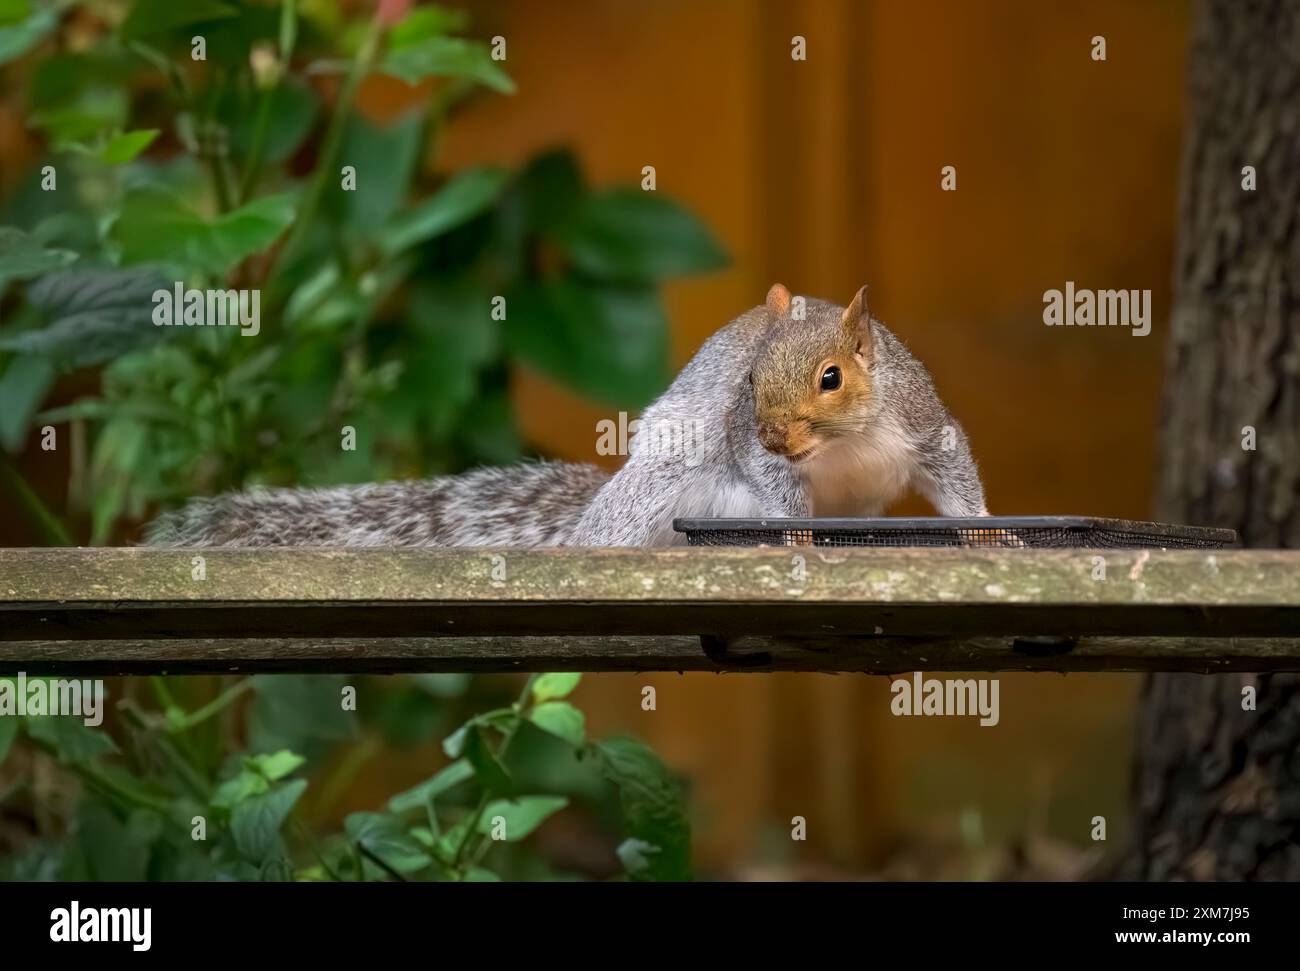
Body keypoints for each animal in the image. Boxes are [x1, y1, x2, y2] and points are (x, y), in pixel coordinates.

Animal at [147, 283, 987, 548]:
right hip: (656, 487)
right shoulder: (756, 456)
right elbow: (775, 488)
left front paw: (988, 530)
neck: (838, 446)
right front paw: (799, 536)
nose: (777, 432)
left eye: (831, 377)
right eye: (749, 381)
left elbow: (956, 472)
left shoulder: (918, 420)